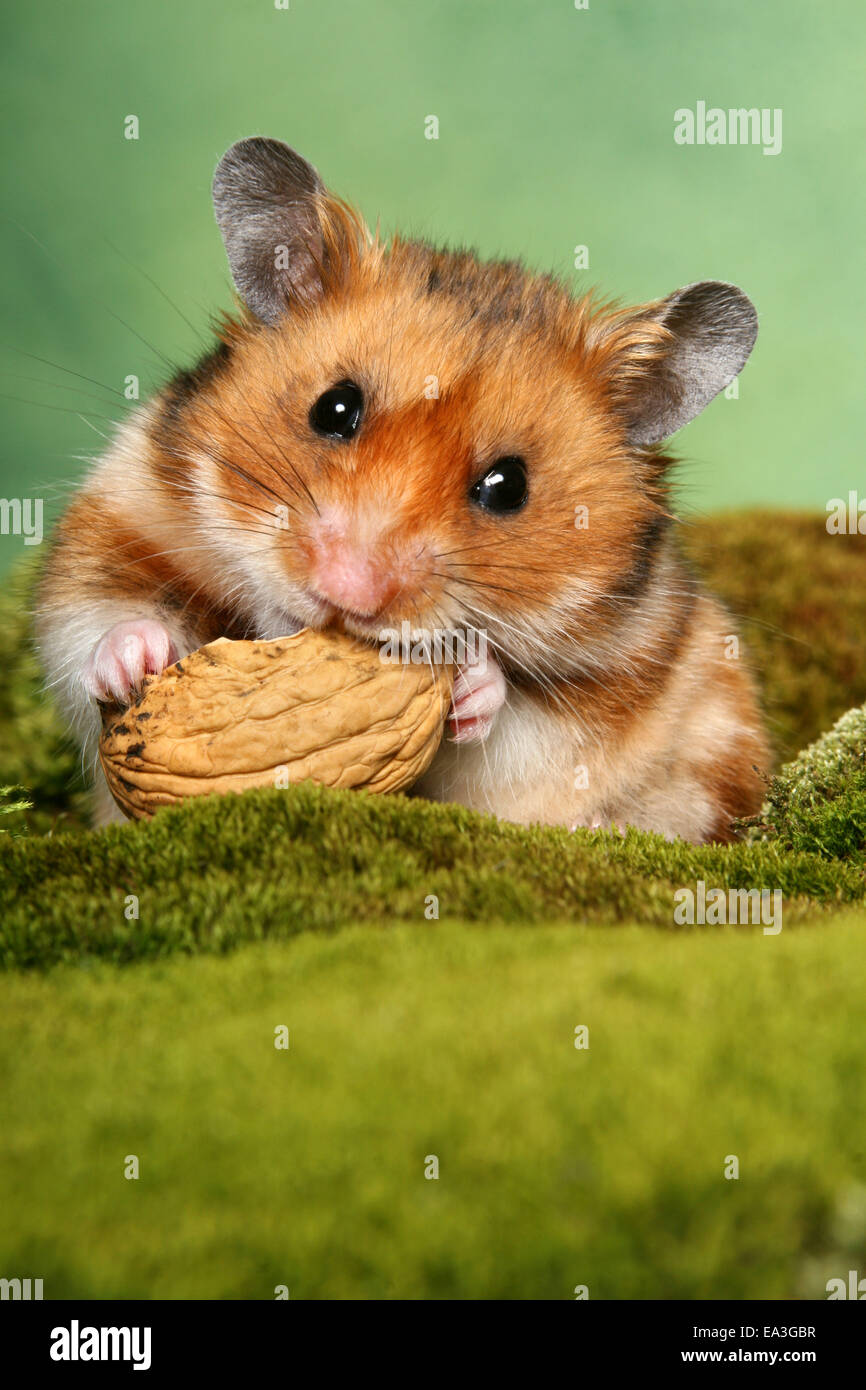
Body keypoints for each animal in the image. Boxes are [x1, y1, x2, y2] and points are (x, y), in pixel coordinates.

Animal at [35, 136, 769, 841]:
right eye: (334, 409)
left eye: (508, 487)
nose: (347, 591)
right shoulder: (120, 514)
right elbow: (94, 621)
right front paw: (135, 658)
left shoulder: (612, 680)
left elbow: (509, 724)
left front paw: (474, 679)